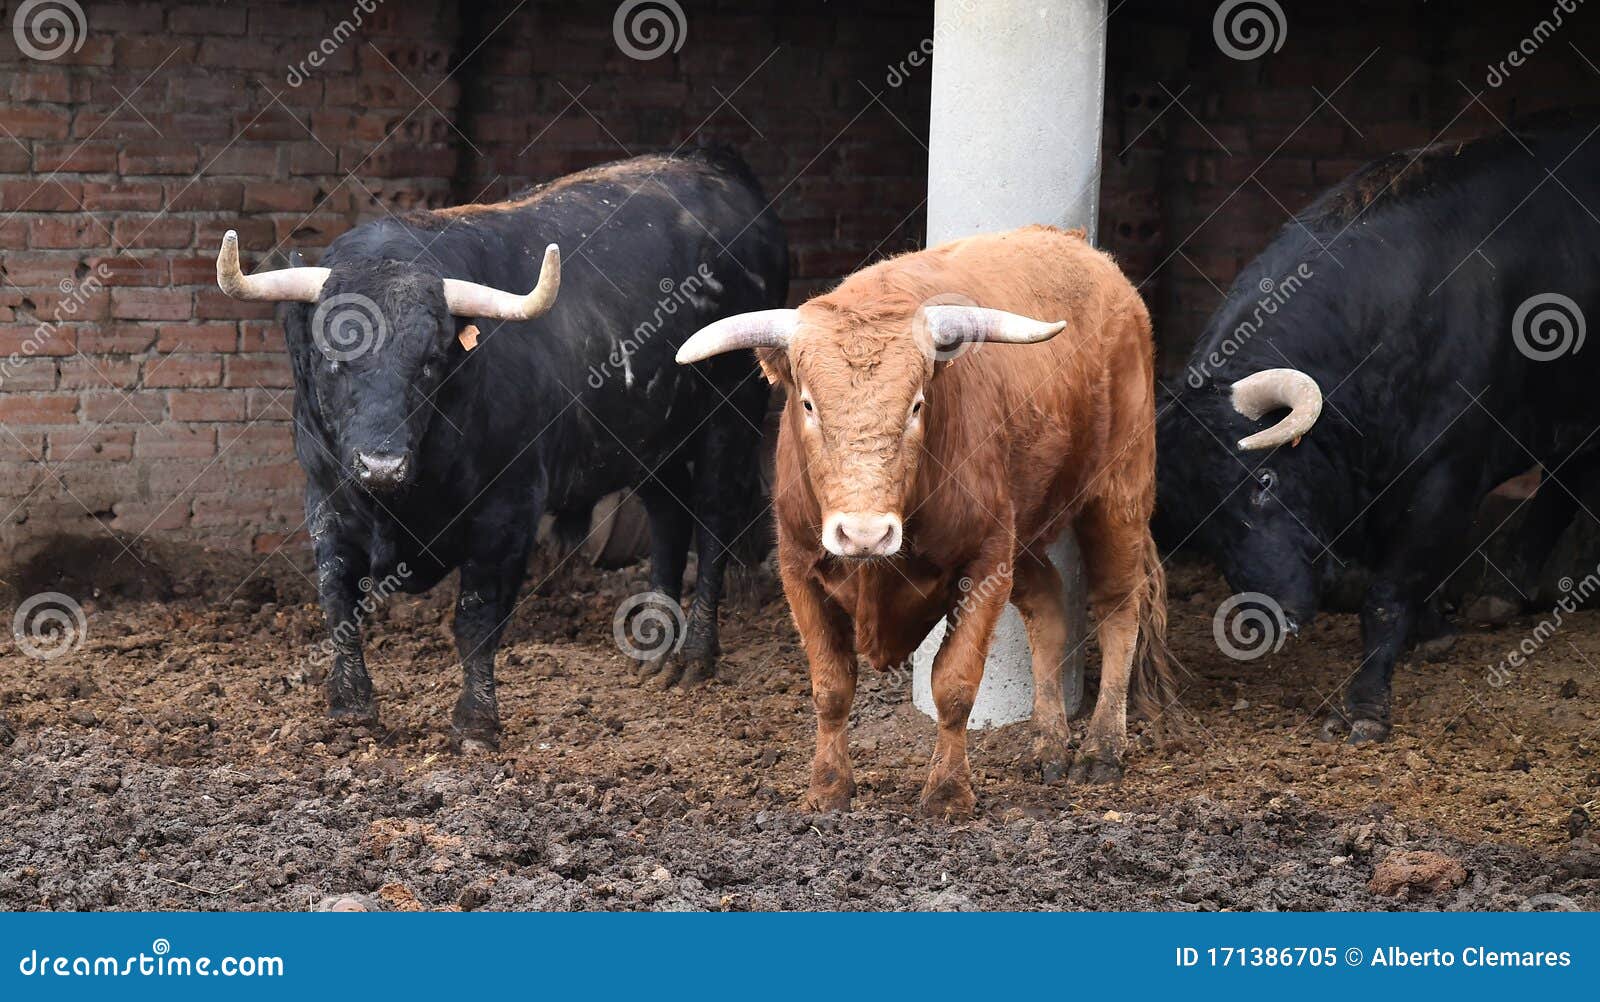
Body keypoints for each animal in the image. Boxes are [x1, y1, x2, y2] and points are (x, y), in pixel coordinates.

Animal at [214, 148, 787, 749]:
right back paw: (654, 645)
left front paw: (475, 723)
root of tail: (716, 170)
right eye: (330, 356)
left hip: (732, 410)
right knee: (668, 520)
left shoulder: (508, 511)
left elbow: (477, 619)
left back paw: (695, 655)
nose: (381, 465)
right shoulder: (325, 498)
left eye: (432, 360)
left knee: (714, 520)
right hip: (652, 438)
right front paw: (351, 706)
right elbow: (337, 599)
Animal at [677, 225, 1173, 817]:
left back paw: (1101, 750)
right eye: (809, 404)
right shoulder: (798, 565)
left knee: (1118, 608)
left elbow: (954, 684)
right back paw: (1047, 745)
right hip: (1024, 525)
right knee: (1049, 605)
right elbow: (831, 686)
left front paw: (948, 791)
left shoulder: (985, 560)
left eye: (916, 405)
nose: (864, 534)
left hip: (1119, 490)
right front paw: (828, 788)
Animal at [1156, 111, 1600, 743]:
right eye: (1198, 524)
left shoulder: (1445, 474)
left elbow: (1388, 592)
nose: (1271, 616)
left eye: (1264, 482)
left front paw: (1366, 705)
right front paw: (1432, 632)